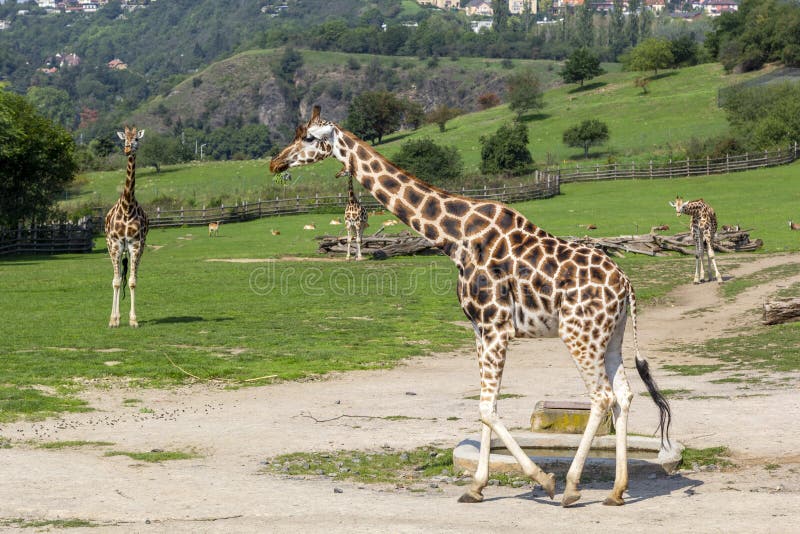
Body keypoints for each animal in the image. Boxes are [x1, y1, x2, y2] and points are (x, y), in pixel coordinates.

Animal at [270, 106, 672, 507]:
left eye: (308, 138)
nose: (276, 162)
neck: (454, 239)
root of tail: (626, 285)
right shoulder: (480, 329)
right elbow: (486, 409)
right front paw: (477, 487)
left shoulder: (496, 326)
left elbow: (485, 407)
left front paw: (542, 479)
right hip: (610, 336)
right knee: (623, 395)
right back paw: (617, 491)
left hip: (579, 335)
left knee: (602, 397)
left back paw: (572, 486)